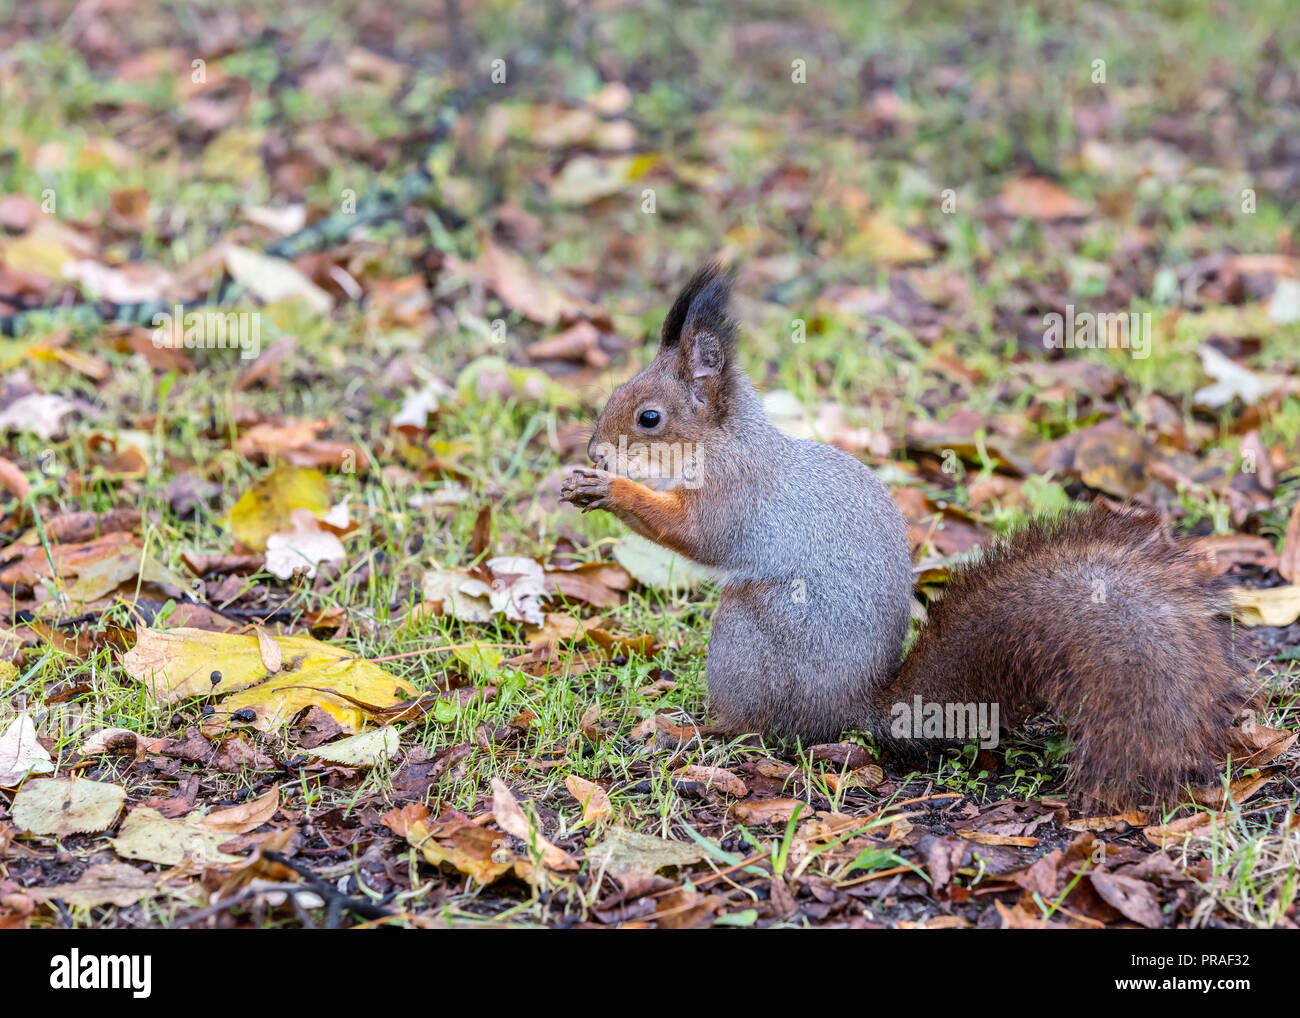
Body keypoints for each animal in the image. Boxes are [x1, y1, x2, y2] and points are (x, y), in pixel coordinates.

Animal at [560, 262, 1253, 809]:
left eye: (650, 417)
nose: (594, 449)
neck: (727, 442)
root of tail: (855, 707)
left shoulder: (736, 496)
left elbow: (694, 535)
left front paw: (609, 489)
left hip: (749, 634)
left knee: (756, 727)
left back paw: (698, 729)